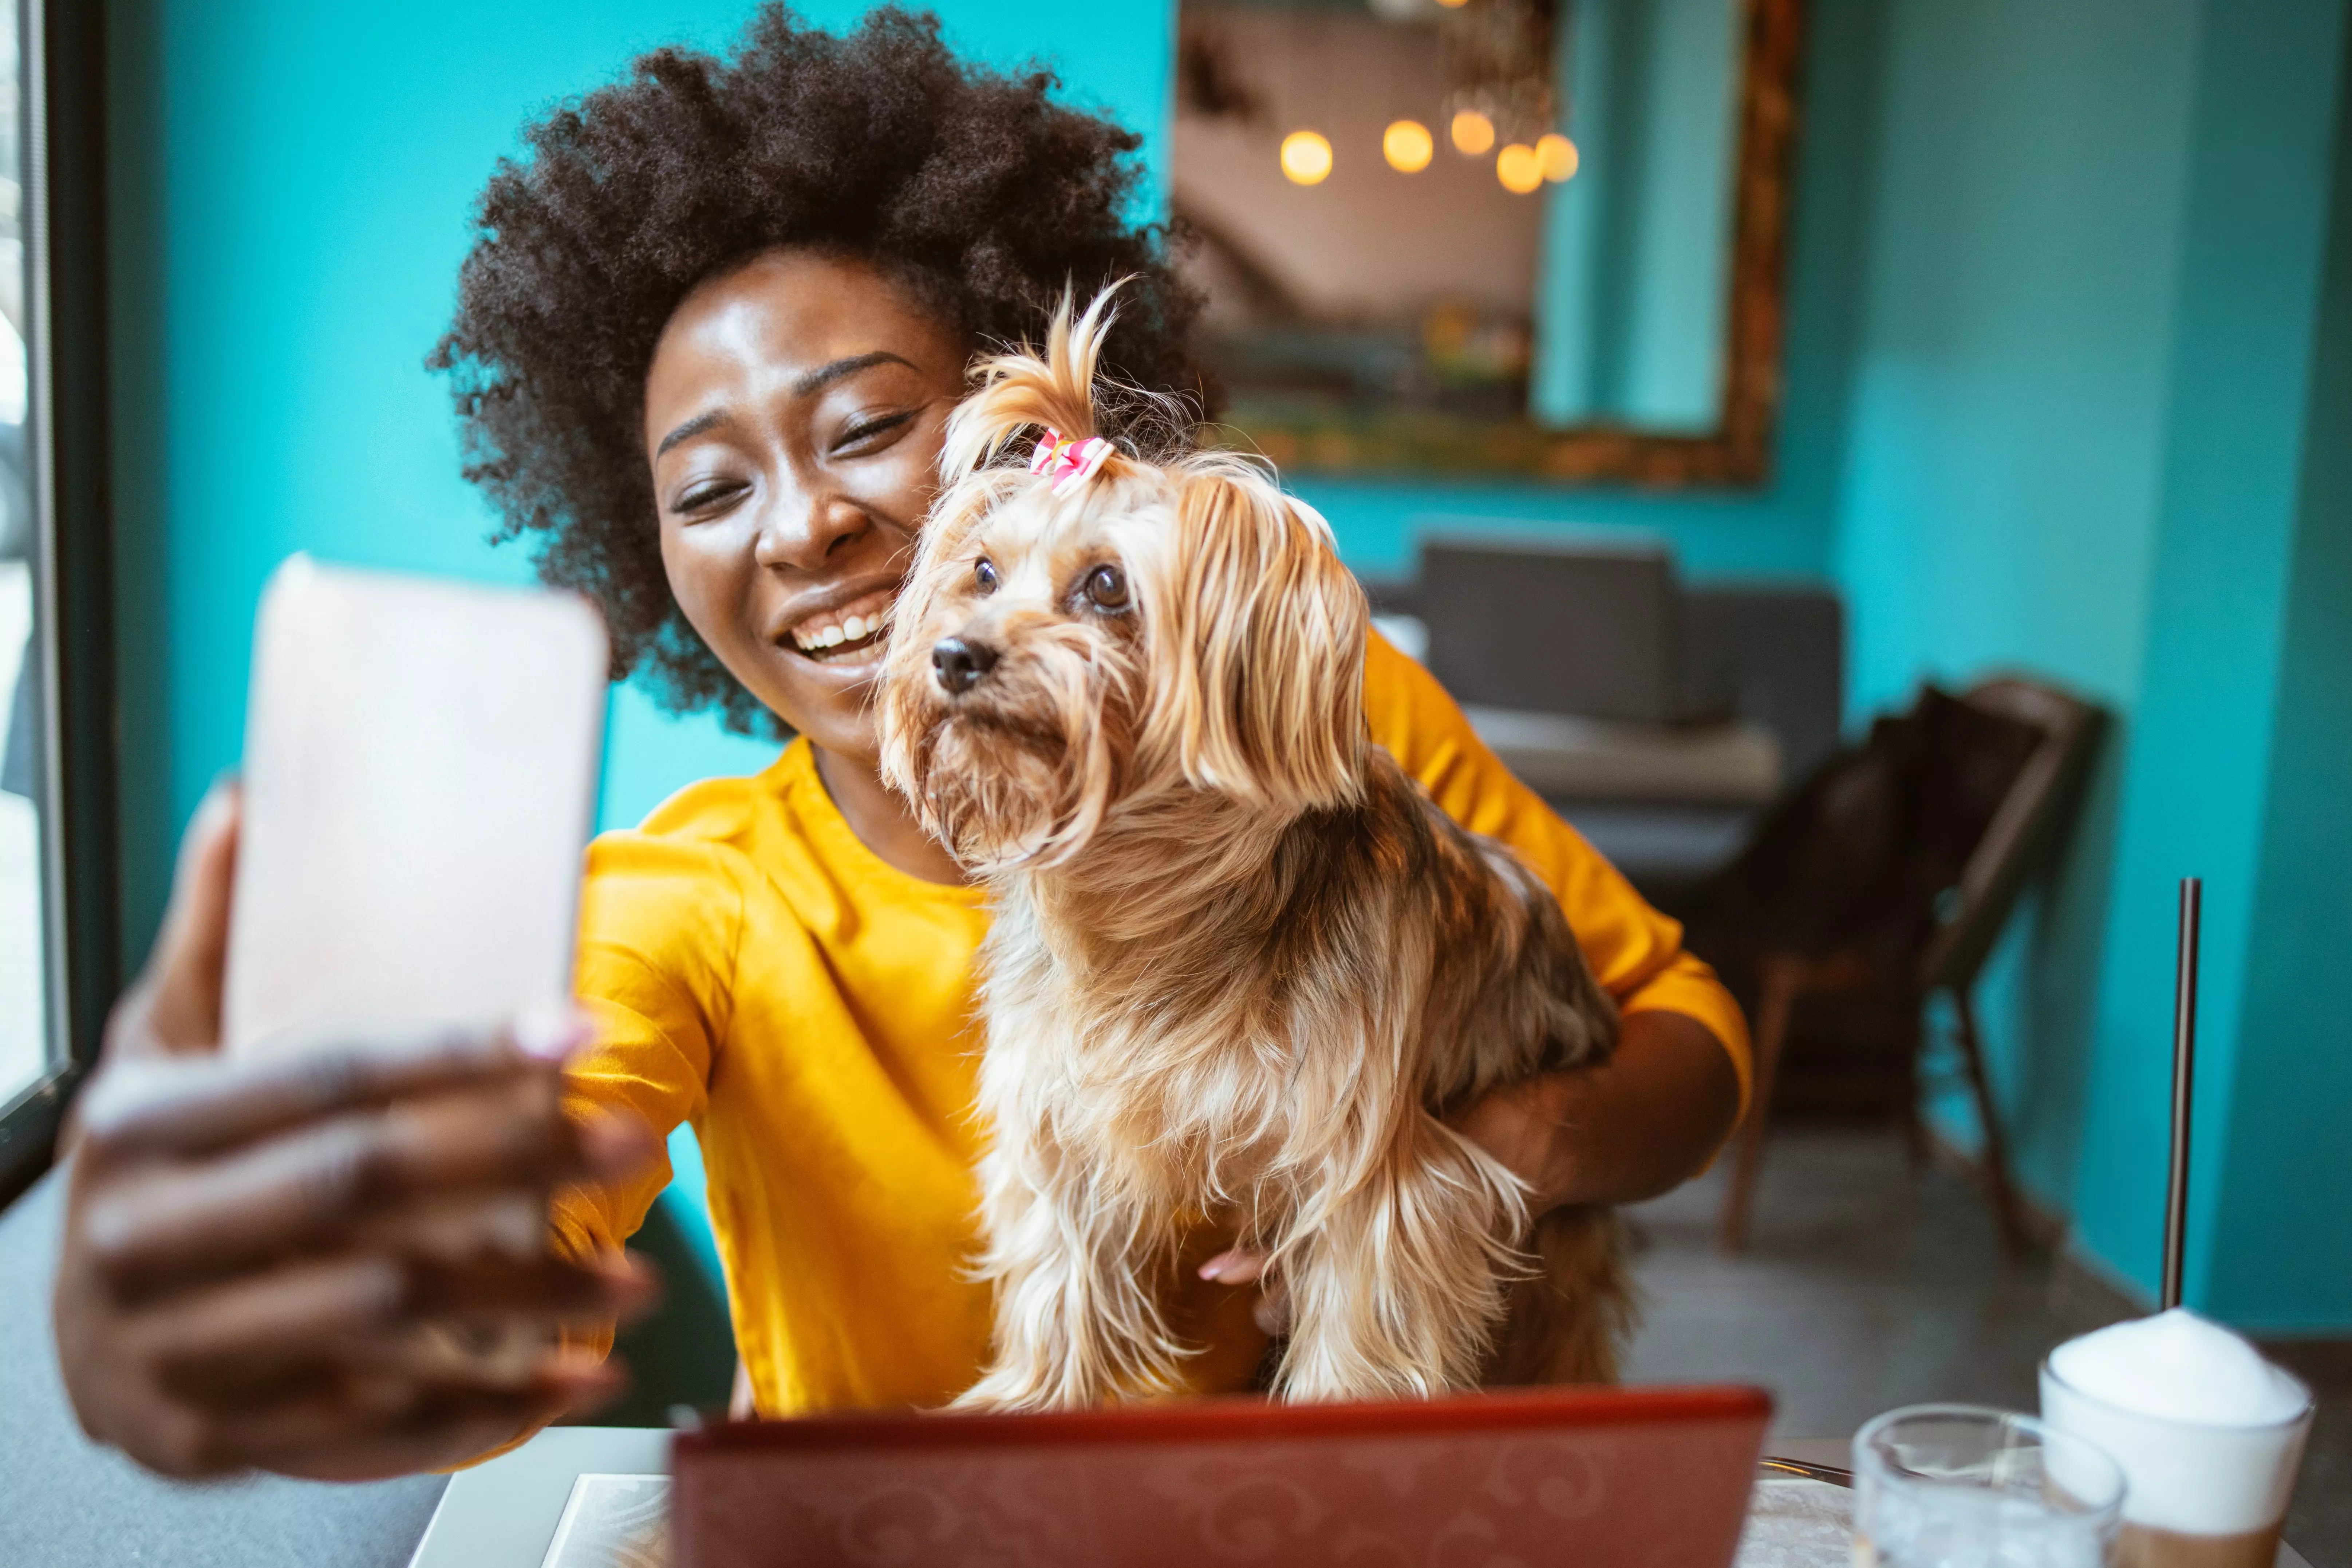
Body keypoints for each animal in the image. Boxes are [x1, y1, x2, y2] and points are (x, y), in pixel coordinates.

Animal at [884, 294, 1637, 1410]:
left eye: (1105, 586)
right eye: (979, 573)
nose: (951, 655)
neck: (1153, 903)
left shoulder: (1380, 1186)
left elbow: (1362, 1332)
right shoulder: (1062, 1127)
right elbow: (1058, 1281)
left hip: (1560, 1271)